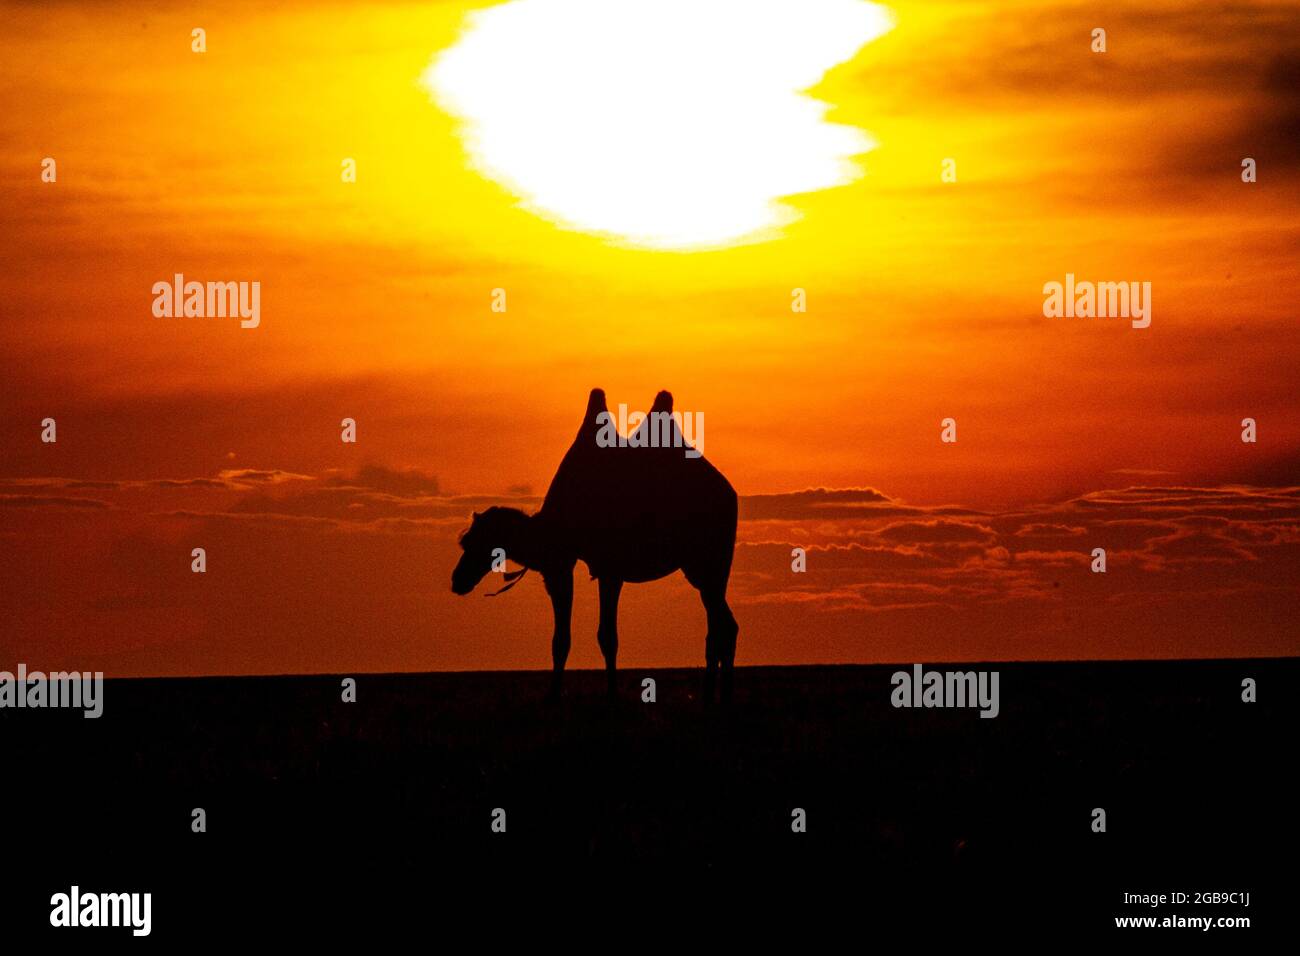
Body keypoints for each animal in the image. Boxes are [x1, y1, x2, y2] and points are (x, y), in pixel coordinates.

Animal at [451, 388, 739, 704]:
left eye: (476, 543)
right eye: (465, 542)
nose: (457, 579)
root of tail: (730, 494)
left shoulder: (601, 567)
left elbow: (605, 636)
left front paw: (607, 695)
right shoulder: (565, 565)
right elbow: (562, 639)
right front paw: (555, 694)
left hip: (707, 561)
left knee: (722, 626)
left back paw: (717, 696)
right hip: (705, 569)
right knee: (722, 625)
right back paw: (715, 695)